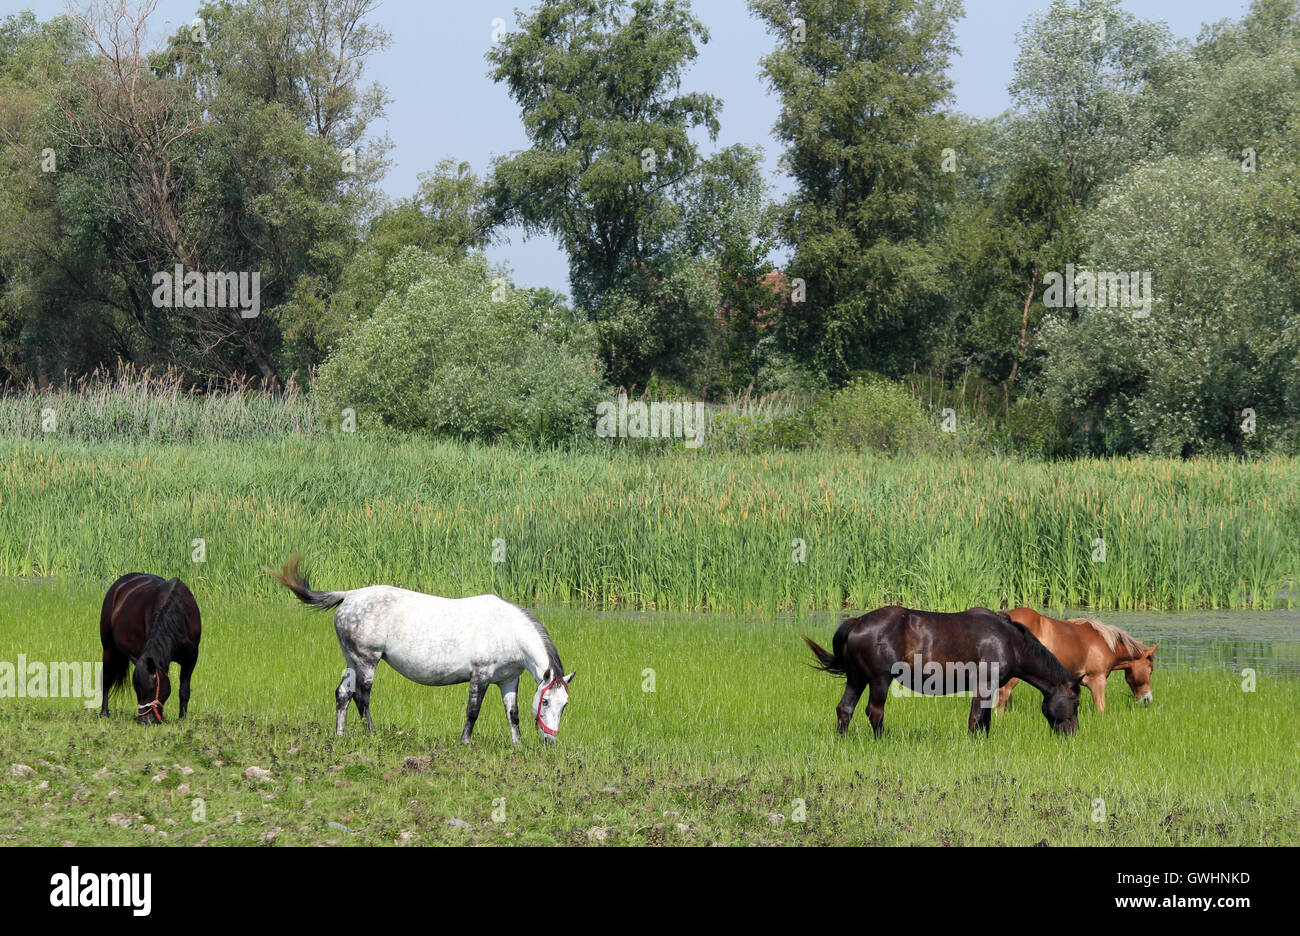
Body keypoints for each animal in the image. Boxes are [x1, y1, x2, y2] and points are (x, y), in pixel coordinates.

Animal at [99, 573, 202, 724]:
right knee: (106, 679)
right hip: (108, 648)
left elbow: (184, 691)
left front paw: (182, 718)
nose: (145, 720)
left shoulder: (190, 659)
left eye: (154, 687)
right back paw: (104, 713)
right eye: (137, 689)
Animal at [266, 555, 575, 744]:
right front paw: (466, 742)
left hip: (352, 660)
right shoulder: (482, 675)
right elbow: (472, 711)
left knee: (342, 694)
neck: (507, 629)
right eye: (546, 702)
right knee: (362, 698)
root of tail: (349, 596)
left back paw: (340, 735)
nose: (550, 741)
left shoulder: (508, 679)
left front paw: (517, 744)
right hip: (367, 661)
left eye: (565, 705)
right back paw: (372, 734)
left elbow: (513, 714)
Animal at [803, 606, 1082, 737]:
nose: (1072, 734)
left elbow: (986, 720)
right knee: (874, 712)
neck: (1009, 641)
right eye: (1076, 702)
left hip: (856, 678)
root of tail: (857, 622)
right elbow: (976, 719)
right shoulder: (984, 684)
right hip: (878, 680)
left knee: (845, 709)